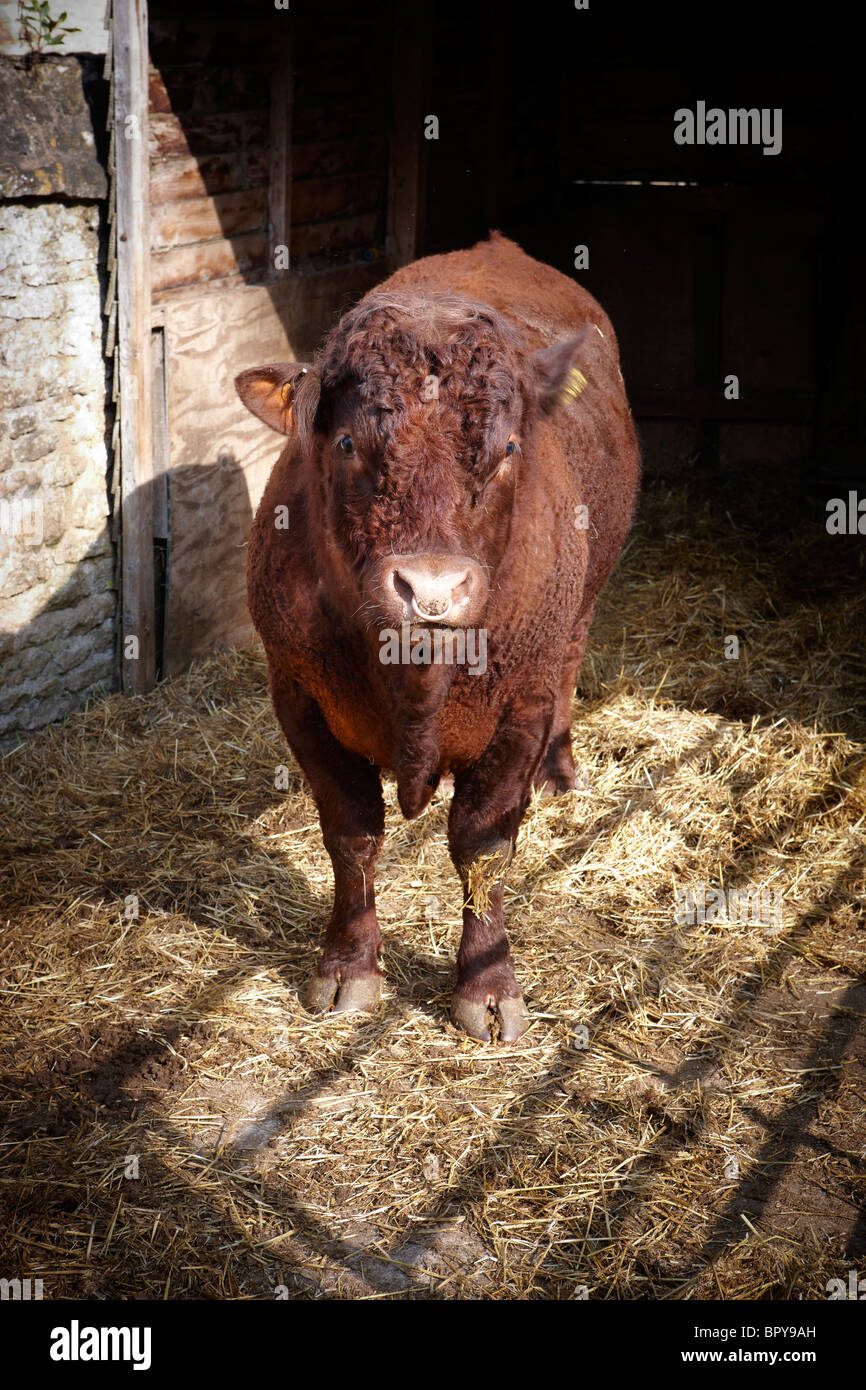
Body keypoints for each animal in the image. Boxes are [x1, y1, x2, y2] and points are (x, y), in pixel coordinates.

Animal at [236, 232, 640, 1041]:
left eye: (509, 447)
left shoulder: (520, 706)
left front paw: (487, 985)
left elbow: (482, 844)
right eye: (348, 442)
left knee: (572, 667)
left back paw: (562, 769)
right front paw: (348, 968)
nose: (431, 590)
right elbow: (351, 831)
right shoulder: (297, 693)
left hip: (577, 618)